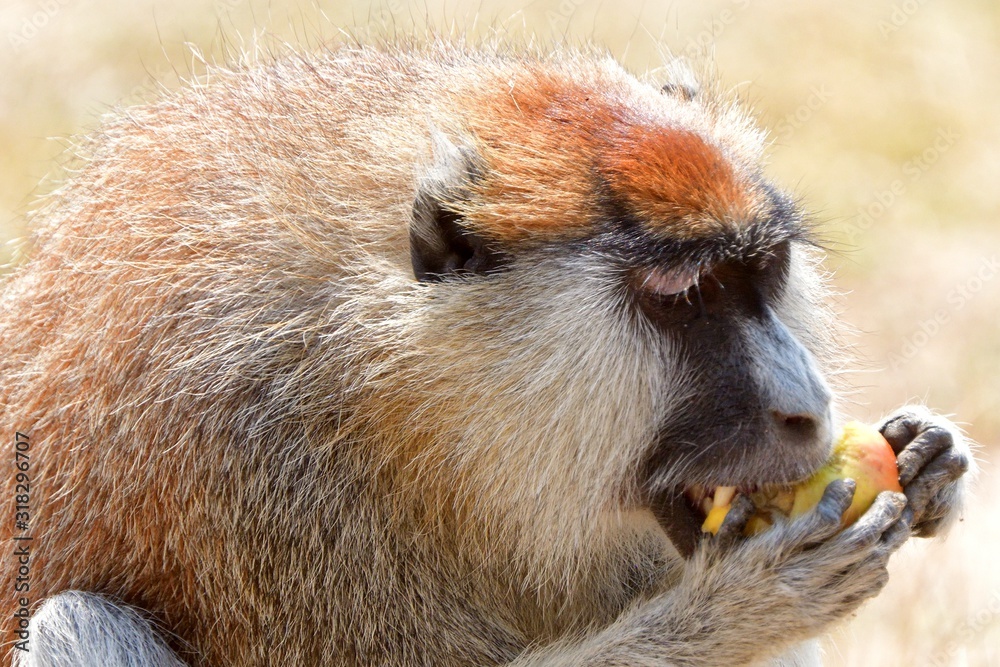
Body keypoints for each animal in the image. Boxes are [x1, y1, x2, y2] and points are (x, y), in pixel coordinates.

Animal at [0, 40, 972, 667]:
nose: (804, 405)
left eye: (760, 274)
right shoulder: (249, 474)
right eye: (685, 299)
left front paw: (930, 454)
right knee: (77, 622)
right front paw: (731, 612)